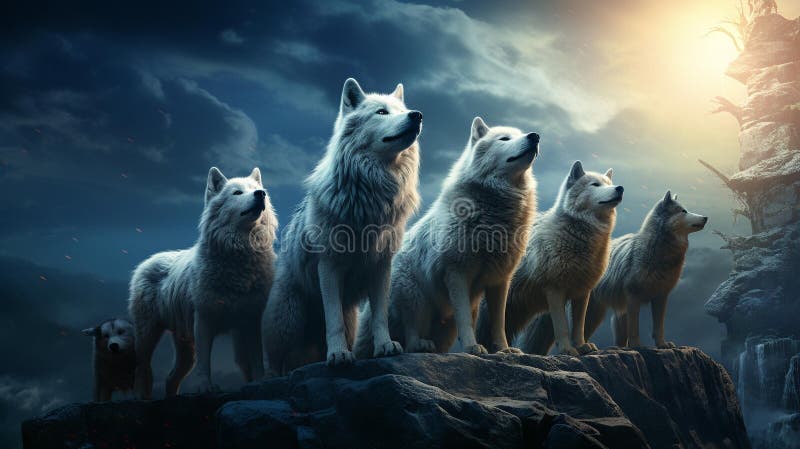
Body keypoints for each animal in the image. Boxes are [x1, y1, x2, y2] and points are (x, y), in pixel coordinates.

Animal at [128, 167, 277, 398]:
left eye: (257, 189)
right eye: (237, 193)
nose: (261, 194)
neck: (239, 252)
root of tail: (146, 261)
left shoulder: (250, 320)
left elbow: (256, 359)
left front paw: (260, 381)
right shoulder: (204, 320)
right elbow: (205, 362)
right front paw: (205, 387)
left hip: (185, 349)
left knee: (171, 378)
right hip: (147, 336)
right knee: (141, 369)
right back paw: (140, 398)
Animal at [262, 78, 421, 374]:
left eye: (402, 110)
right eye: (381, 112)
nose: (417, 115)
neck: (371, 191)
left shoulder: (381, 266)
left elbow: (380, 316)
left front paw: (385, 346)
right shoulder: (329, 266)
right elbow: (332, 319)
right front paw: (337, 355)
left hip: (348, 322)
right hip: (287, 320)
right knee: (272, 361)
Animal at [353, 117, 538, 358]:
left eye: (521, 133)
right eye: (504, 138)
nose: (535, 136)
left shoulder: (500, 281)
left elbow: (499, 323)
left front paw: (504, 350)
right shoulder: (457, 273)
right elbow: (466, 320)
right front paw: (472, 347)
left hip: (445, 328)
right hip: (415, 299)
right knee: (410, 336)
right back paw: (420, 345)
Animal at [487, 161, 623, 356]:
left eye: (609, 183)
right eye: (595, 185)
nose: (620, 188)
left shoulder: (583, 292)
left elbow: (579, 326)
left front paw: (581, 346)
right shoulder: (555, 290)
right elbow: (562, 327)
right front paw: (567, 349)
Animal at [519, 191, 708, 353]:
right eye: (683, 211)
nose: (706, 217)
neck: (659, 254)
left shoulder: (661, 297)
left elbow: (658, 327)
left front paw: (662, 345)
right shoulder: (633, 298)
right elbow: (634, 328)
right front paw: (637, 346)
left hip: (594, 315)